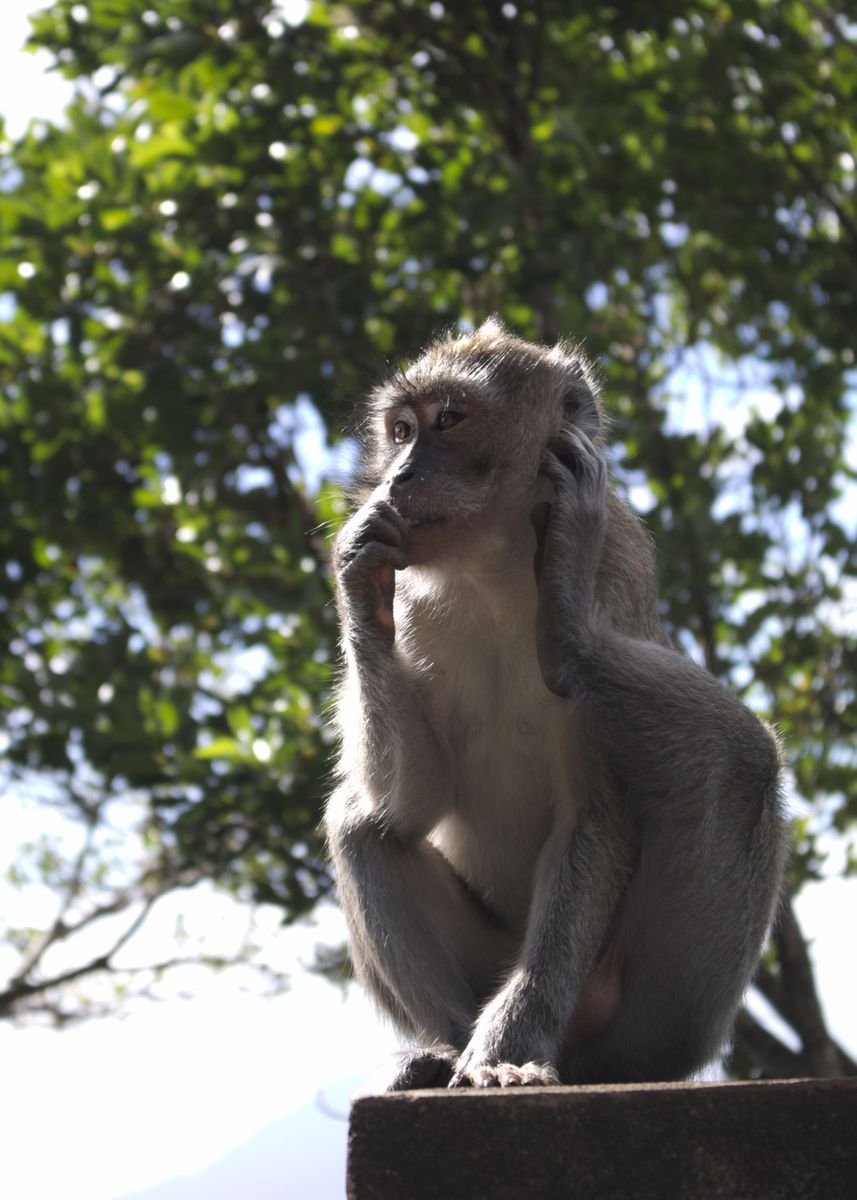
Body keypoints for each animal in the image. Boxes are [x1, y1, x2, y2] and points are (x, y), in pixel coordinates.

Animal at [324, 317, 787, 1090]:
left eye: (449, 421)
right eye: (401, 431)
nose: (397, 476)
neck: (494, 565)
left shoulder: (615, 573)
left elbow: (594, 815)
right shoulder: (416, 604)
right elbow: (409, 803)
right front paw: (355, 567)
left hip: (630, 1001)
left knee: (741, 758)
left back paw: (625, 1060)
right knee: (361, 823)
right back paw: (445, 1047)